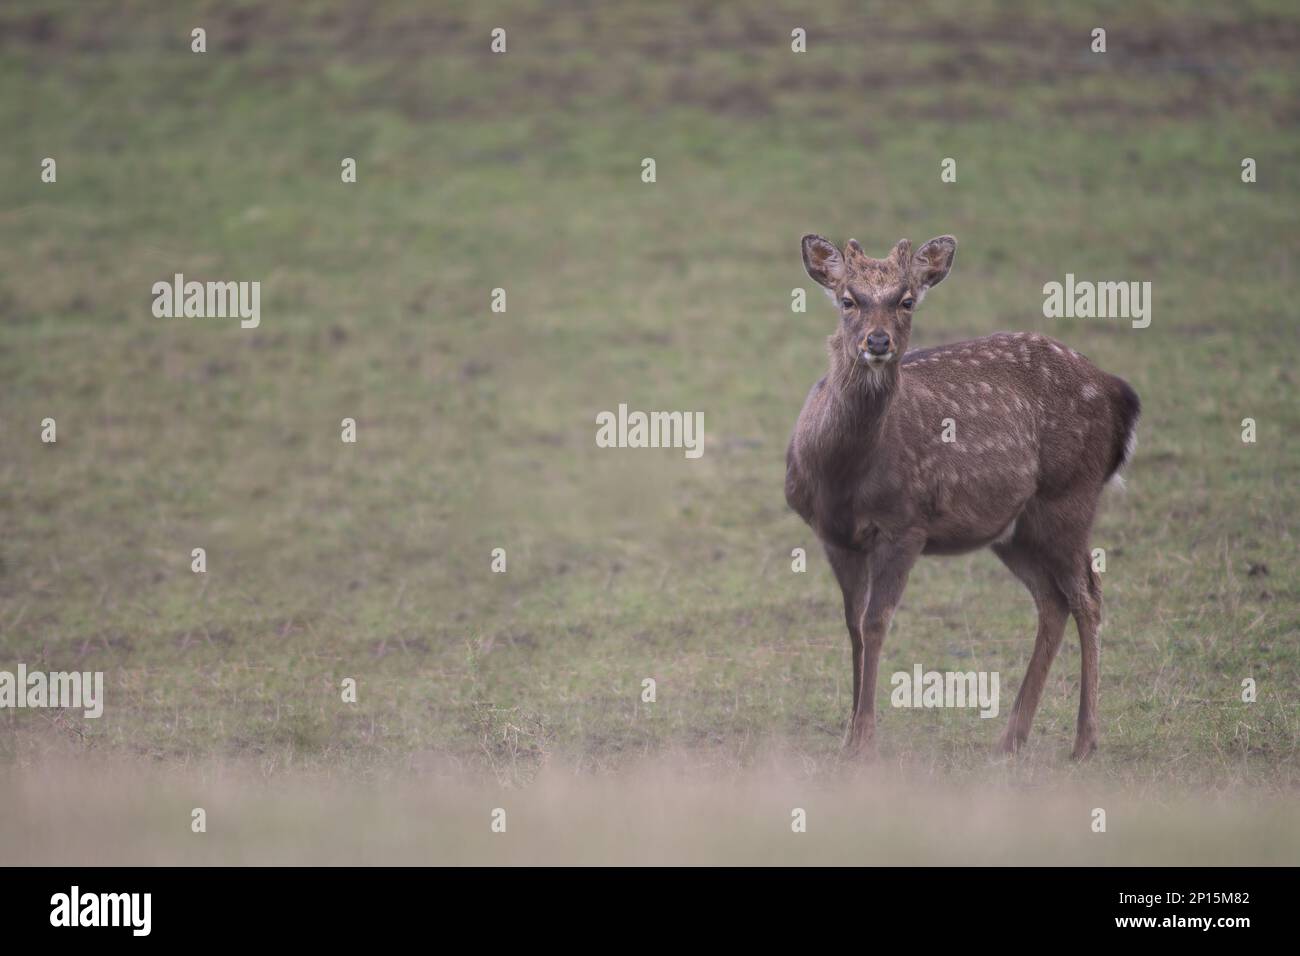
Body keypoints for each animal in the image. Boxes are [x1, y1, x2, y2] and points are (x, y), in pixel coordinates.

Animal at [785, 234, 1140, 761]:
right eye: (848, 299)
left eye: (906, 300)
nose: (877, 342)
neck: (842, 474)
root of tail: (1119, 395)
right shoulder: (833, 535)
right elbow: (852, 625)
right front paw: (850, 733)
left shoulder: (905, 524)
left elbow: (876, 622)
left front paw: (864, 737)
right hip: (1014, 528)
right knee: (1052, 600)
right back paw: (1011, 738)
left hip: (1070, 495)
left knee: (1088, 596)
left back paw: (1084, 741)